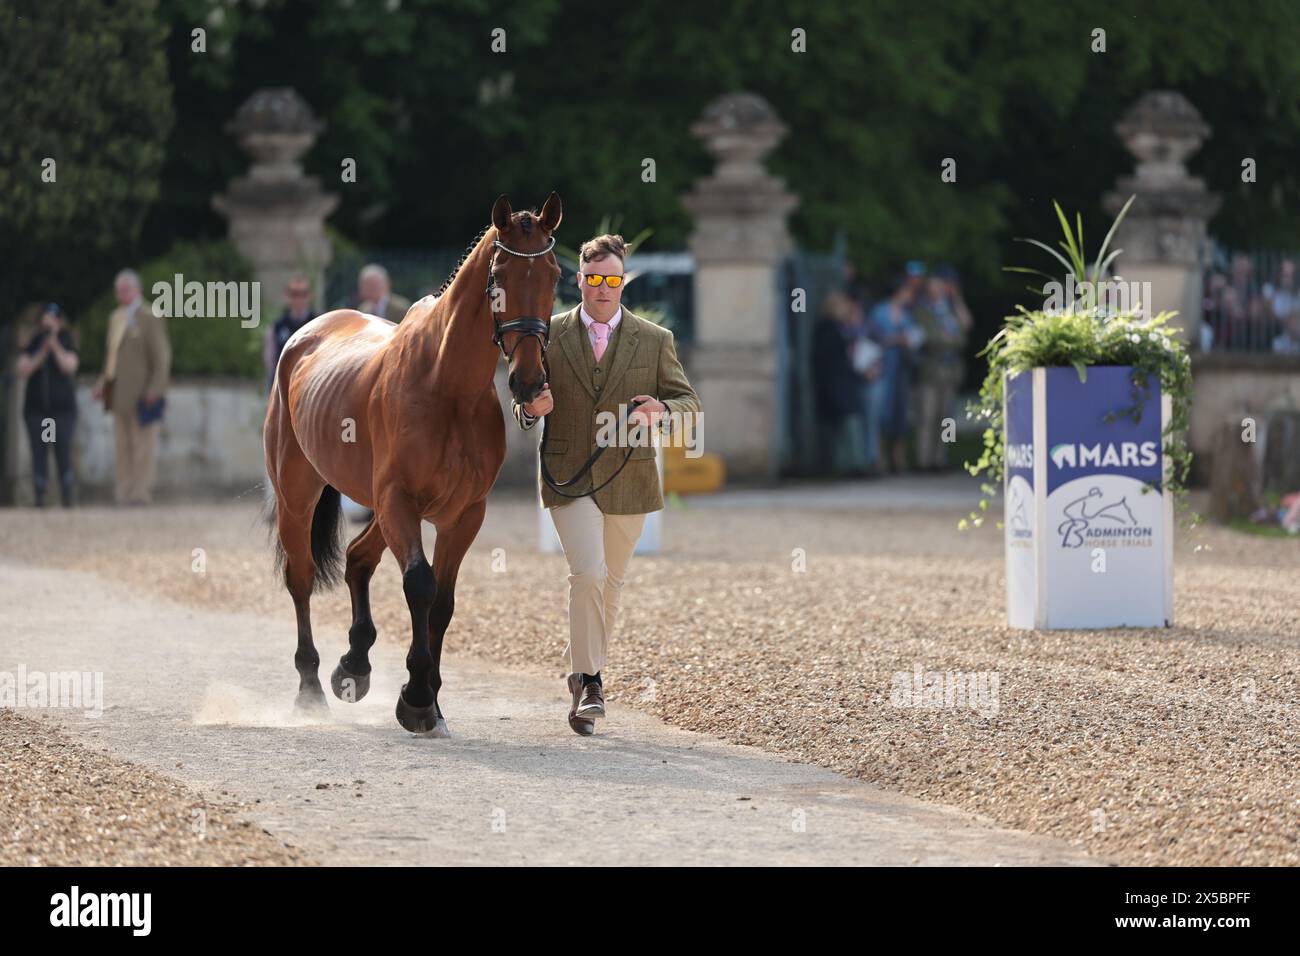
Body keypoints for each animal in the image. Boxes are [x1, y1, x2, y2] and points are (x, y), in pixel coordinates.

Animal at [264, 193, 561, 736]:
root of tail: (306, 332)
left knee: (358, 557)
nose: (530, 383)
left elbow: (442, 602)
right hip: (299, 496)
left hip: (383, 511)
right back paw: (310, 688)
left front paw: (430, 702)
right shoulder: (399, 500)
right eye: (499, 276)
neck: (448, 386)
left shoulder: (462, 514)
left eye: (553, 274)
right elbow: (419, 586)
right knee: (301, 578)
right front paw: (417, 699)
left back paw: (353, 667)